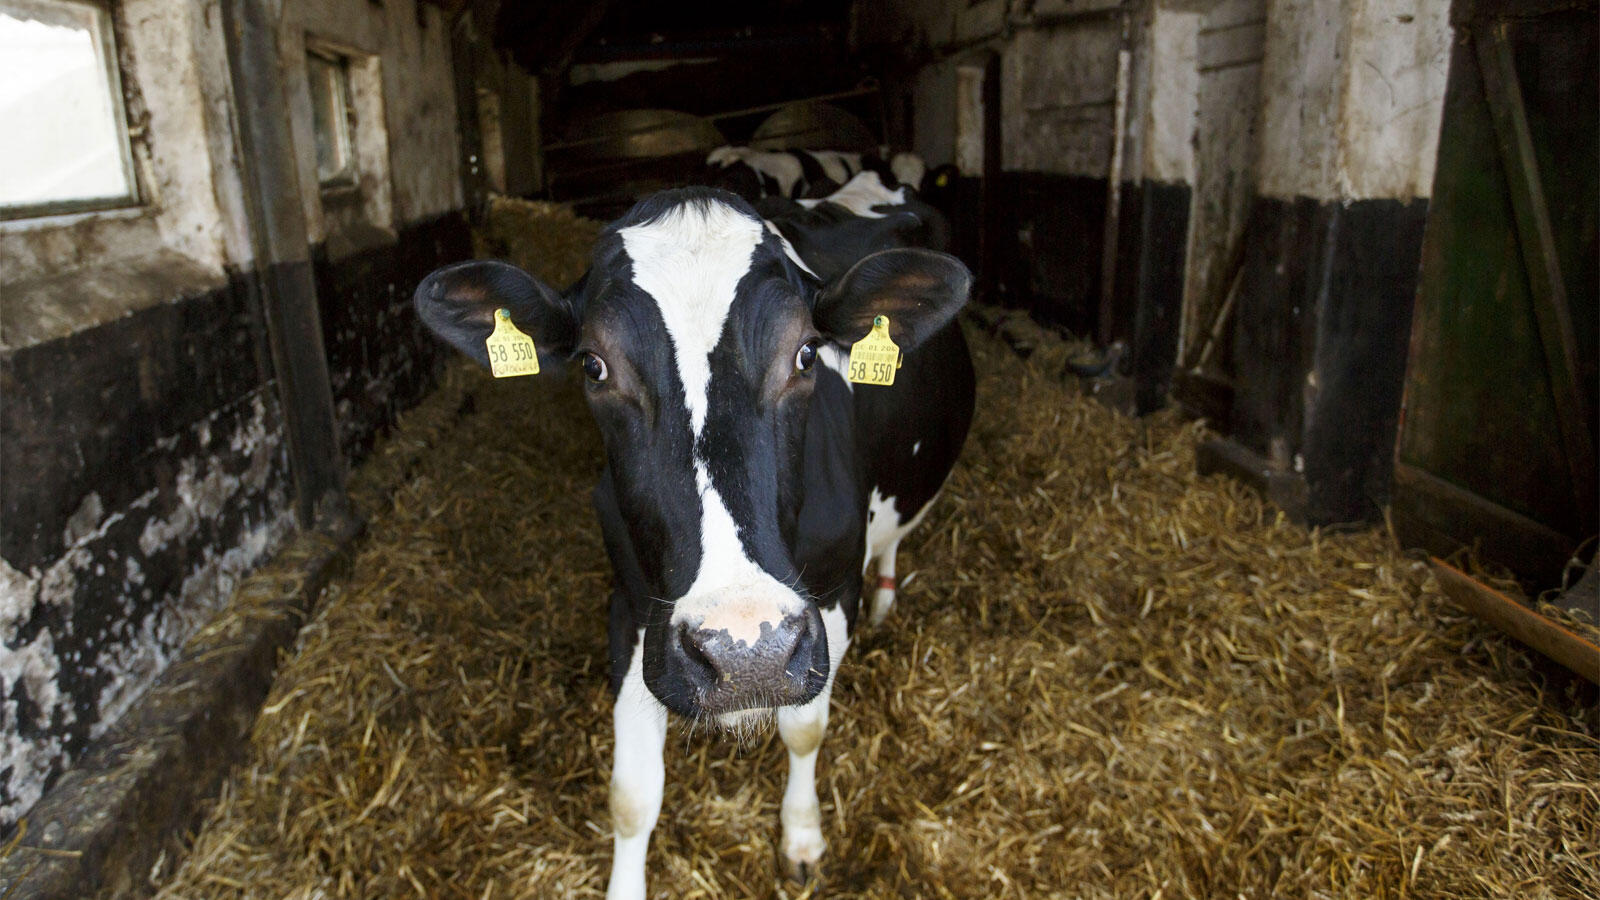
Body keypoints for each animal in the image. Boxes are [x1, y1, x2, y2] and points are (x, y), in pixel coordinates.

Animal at [413, 185, 975, 899]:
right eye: (594, 366)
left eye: (806, 354)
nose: (746, 651)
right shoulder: (632, 608)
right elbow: (632, 794)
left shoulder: (828, 597)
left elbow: (804, 729)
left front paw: (801, 837)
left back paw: (886, 594)